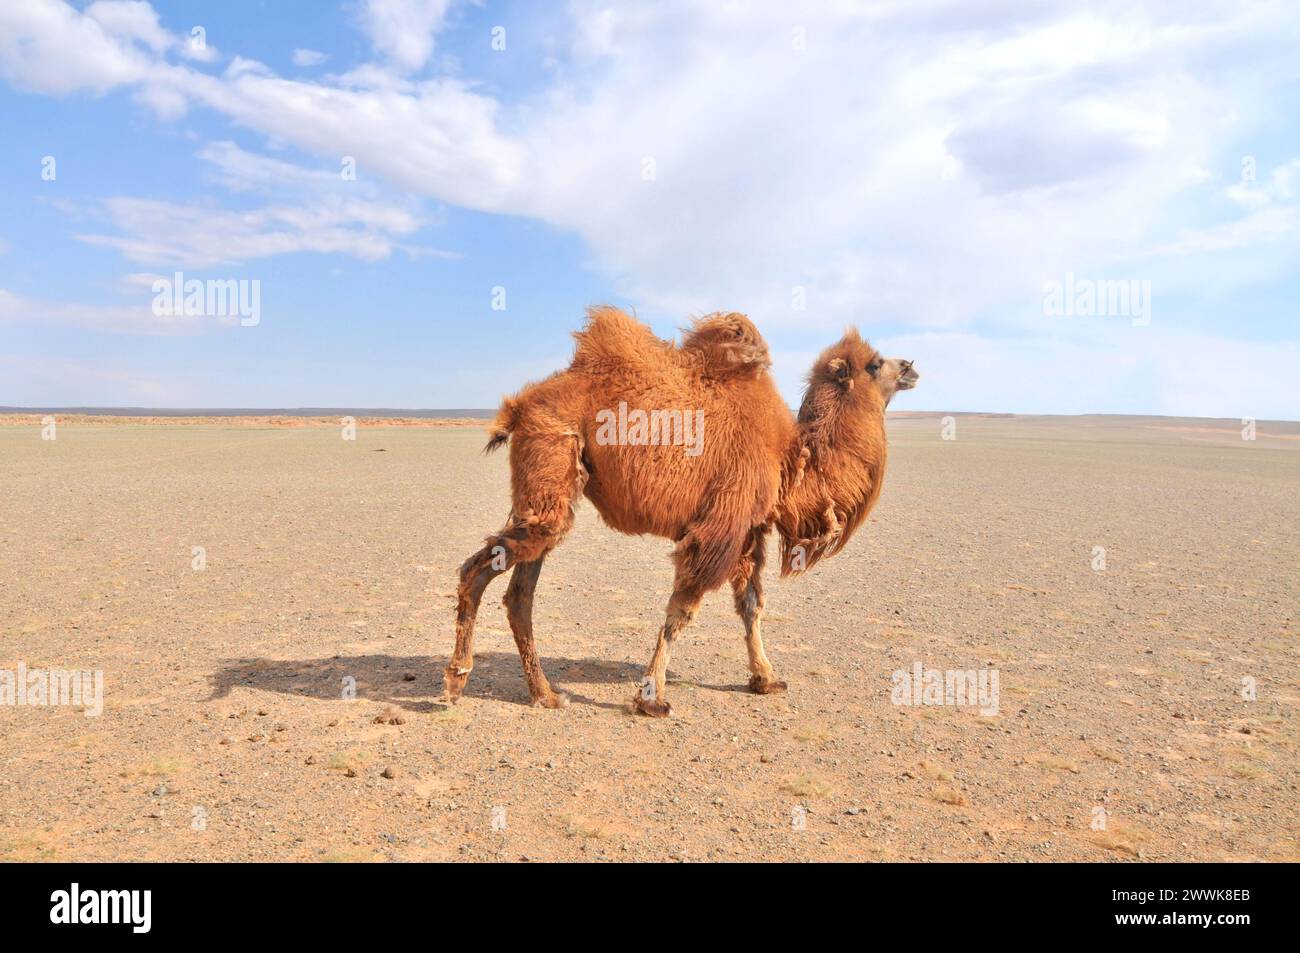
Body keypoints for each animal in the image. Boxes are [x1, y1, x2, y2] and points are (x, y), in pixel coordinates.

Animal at [445, 306, 918, 716]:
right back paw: (456, 681)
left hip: (546, 495)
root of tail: (519, 406)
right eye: (875, 364)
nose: (911, 365)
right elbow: (681, 612)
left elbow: (751, 606)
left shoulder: (748, 532)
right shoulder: (719, 528)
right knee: (479, 569)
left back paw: (543, 694)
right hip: (551, 461)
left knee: (520, 594)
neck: (790, 461)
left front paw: (766, 679)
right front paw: (652, 699)